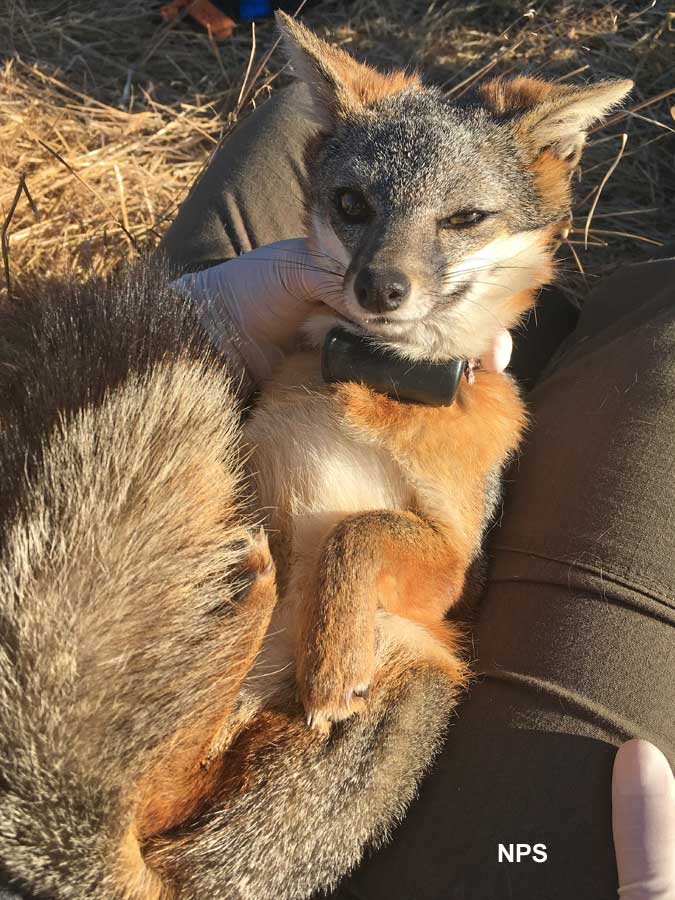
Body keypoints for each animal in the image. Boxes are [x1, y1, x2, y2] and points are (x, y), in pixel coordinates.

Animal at [0, 11, 631, 900]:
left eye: (463, 219)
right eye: (352, 204)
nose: (380, 288)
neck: (381, 391)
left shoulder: (454, 576)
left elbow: (356, 528)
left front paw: (332, 658)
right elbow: (348, 526)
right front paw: (325, 644)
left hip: (423, 664)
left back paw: (263, 605)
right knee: (166, 786)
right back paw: (247, 596)